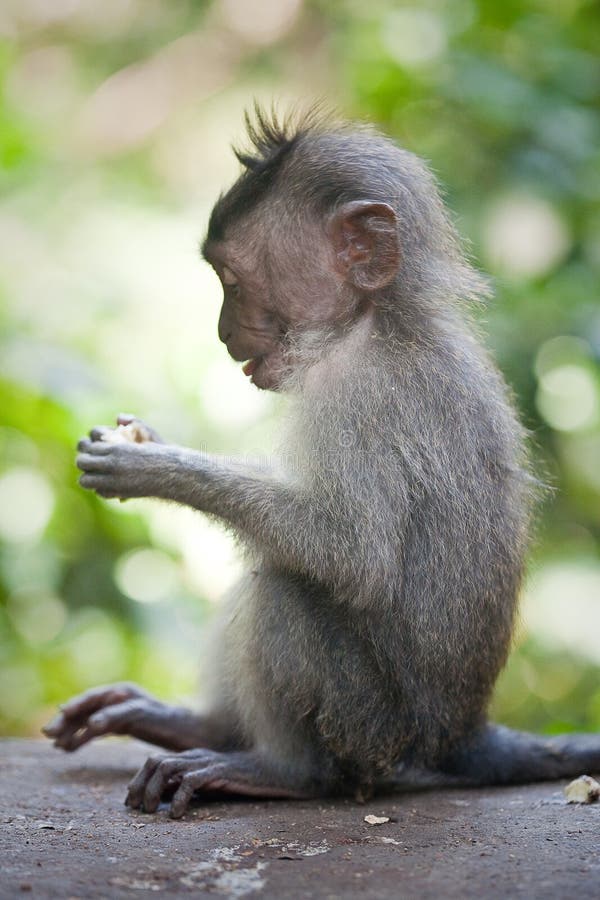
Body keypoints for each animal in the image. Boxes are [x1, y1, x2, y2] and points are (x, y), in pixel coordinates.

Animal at [44, 108, 600, 818]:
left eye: (230, 281)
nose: (223, 332)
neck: (372, 319)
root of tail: (461, 736)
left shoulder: (359, 396)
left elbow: (352, 554)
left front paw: (162, 468)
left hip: (373, 732)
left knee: (288, 581)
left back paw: (282, 770)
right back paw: (198, 726)